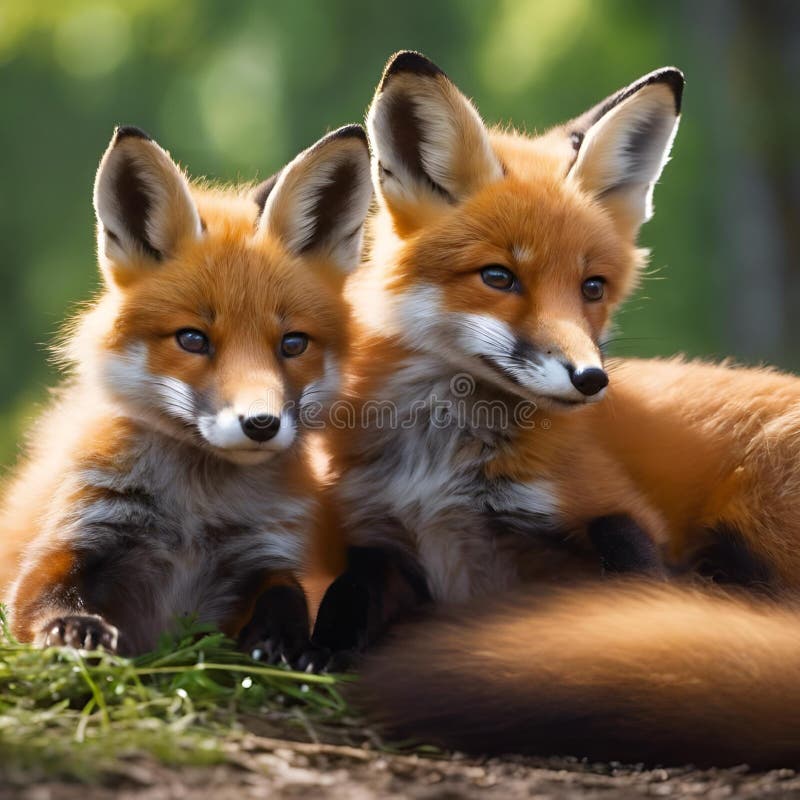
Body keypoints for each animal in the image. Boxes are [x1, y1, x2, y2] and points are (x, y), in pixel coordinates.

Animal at [0, 123, 372, 658]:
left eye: (293, 343)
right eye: (193, 339)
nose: (261, 424)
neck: (197, 512)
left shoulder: (265, 555)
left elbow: (289, 595)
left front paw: (281, 641)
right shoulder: (71, 539)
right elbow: (46, 598)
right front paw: (74, 628)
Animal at [311, 51, 800, 671]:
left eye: (592, 287)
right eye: (499, 277)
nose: (592, 380)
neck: (439, 469)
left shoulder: (615, 513)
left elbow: (644, 582)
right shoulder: (380, 537)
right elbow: (345, 594)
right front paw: (313, 650)